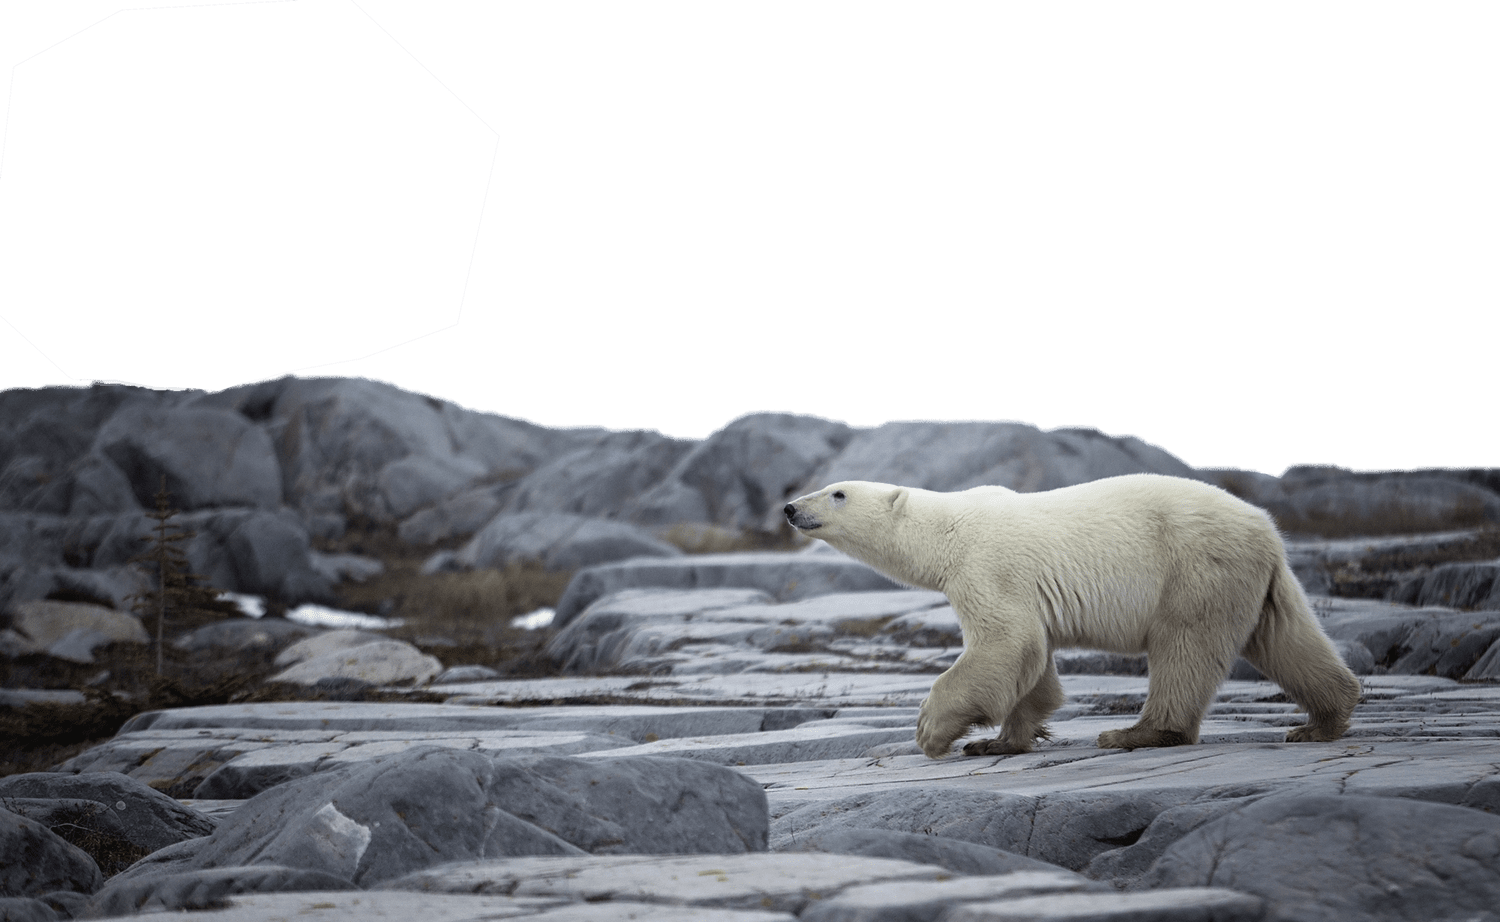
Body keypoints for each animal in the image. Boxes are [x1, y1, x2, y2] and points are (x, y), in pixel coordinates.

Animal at [783, 474, 1361, 758]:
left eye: (838, 493)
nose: (790, 507)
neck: (949, 528)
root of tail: (1265, 525)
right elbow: (1034, 662)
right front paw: (997, 741)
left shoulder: (988, 565)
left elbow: (1004, 642)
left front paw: (932, 732)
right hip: (1252, 579)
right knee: (1286, 639)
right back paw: (1321, 722)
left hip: (1194, 566)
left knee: (1185, 647)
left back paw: (1135, 733)